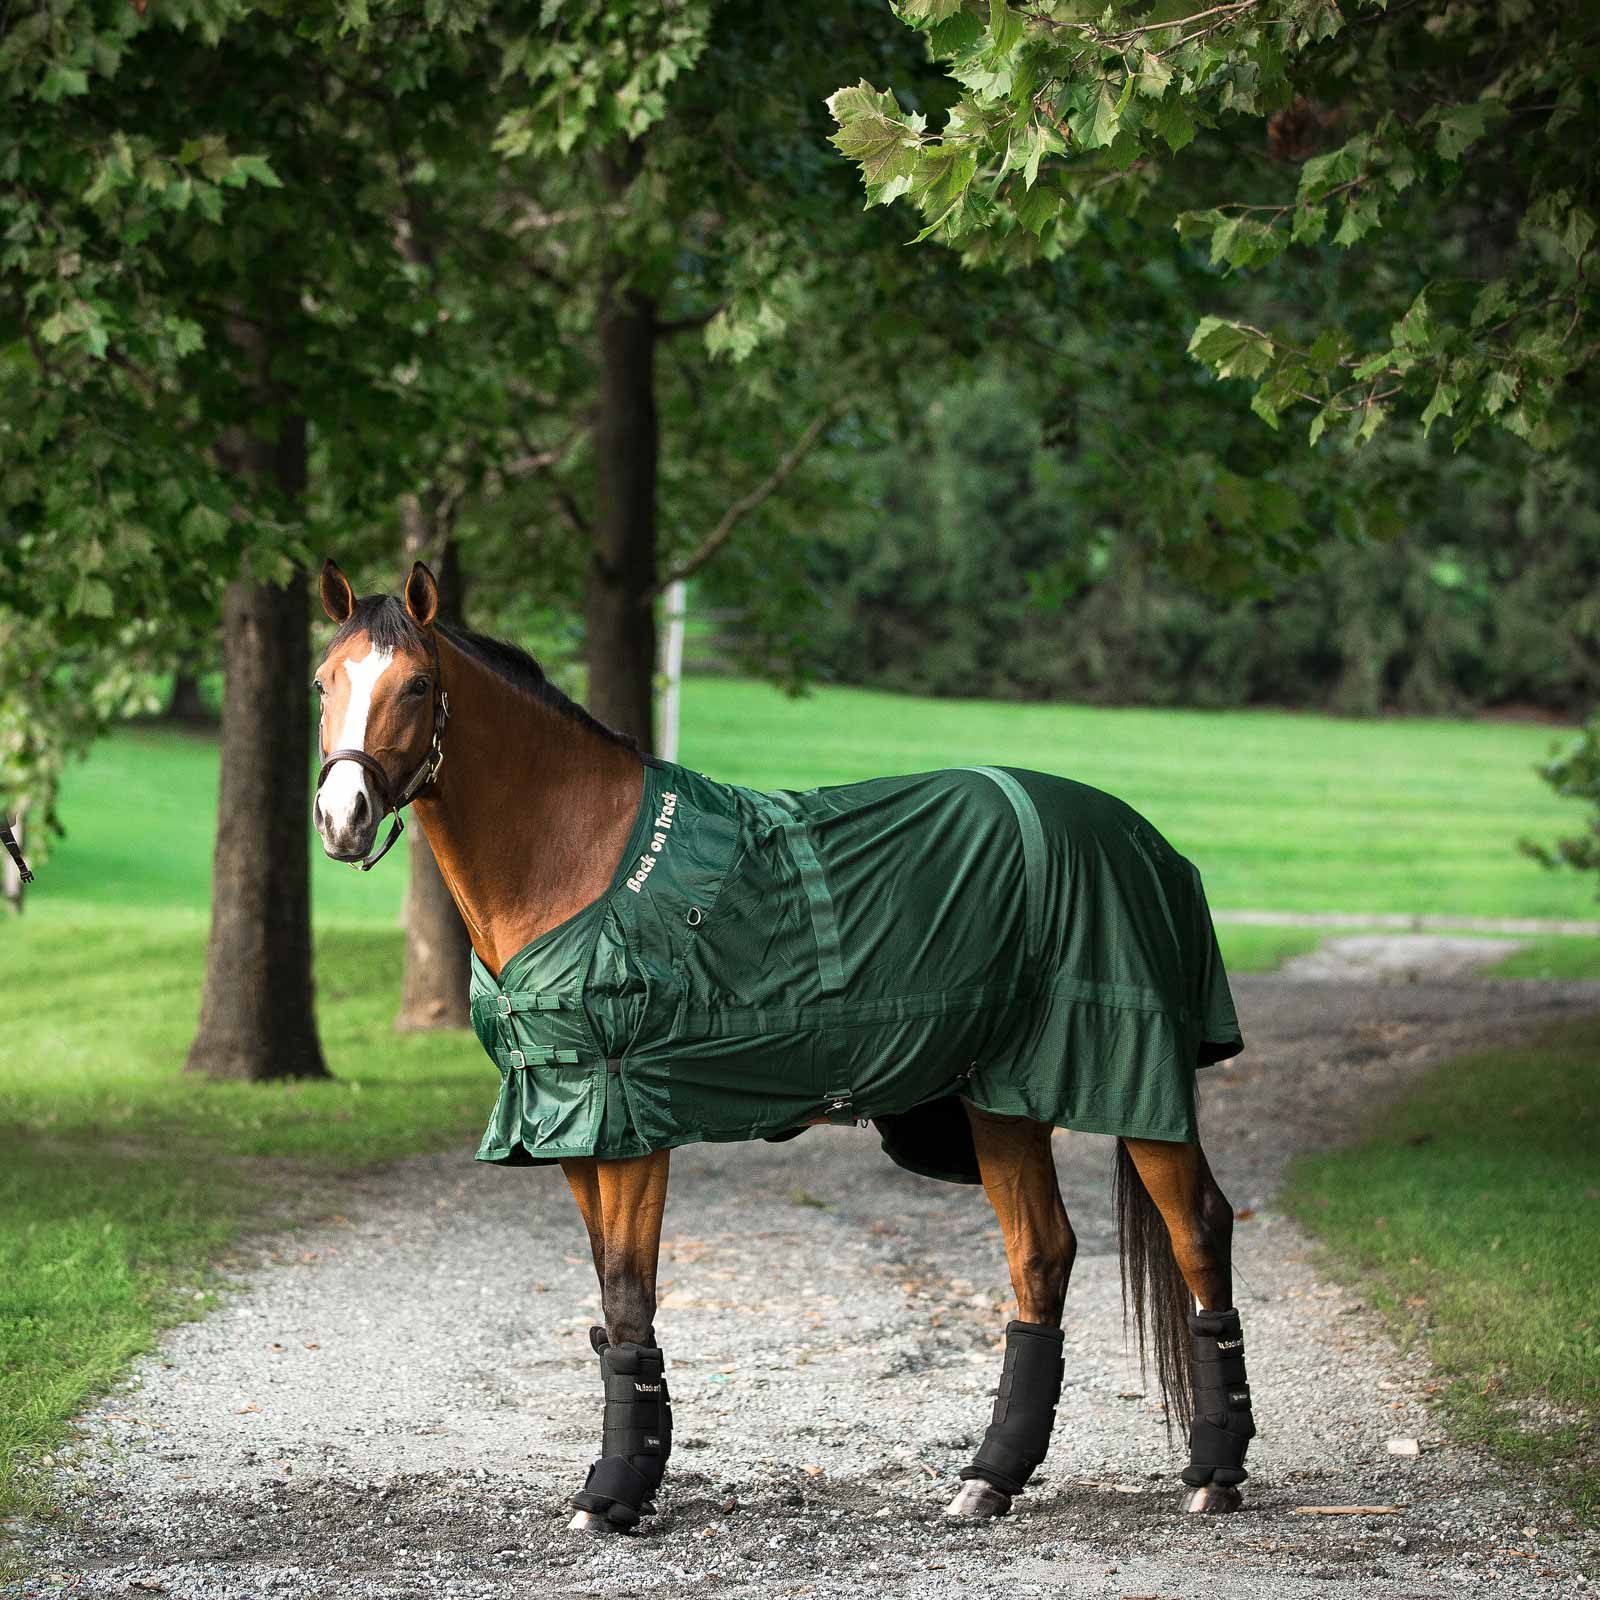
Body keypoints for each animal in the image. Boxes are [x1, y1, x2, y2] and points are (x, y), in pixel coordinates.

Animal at [311, 559, 1256, 1534]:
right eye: (323, 682)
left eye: (416, 685)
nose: (342, 816)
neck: (578, 860)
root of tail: (1143, 841)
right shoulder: (567, 1120)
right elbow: (611, 1300)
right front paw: (628, 1473)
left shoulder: (631, 1119)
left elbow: (629, 1294)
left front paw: (616, 1492)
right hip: (1001, 1095)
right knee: (1042, 1254)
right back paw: (990, 1477)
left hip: (1129, 1079)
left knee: (1198, 1231)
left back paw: (1213, 1473)